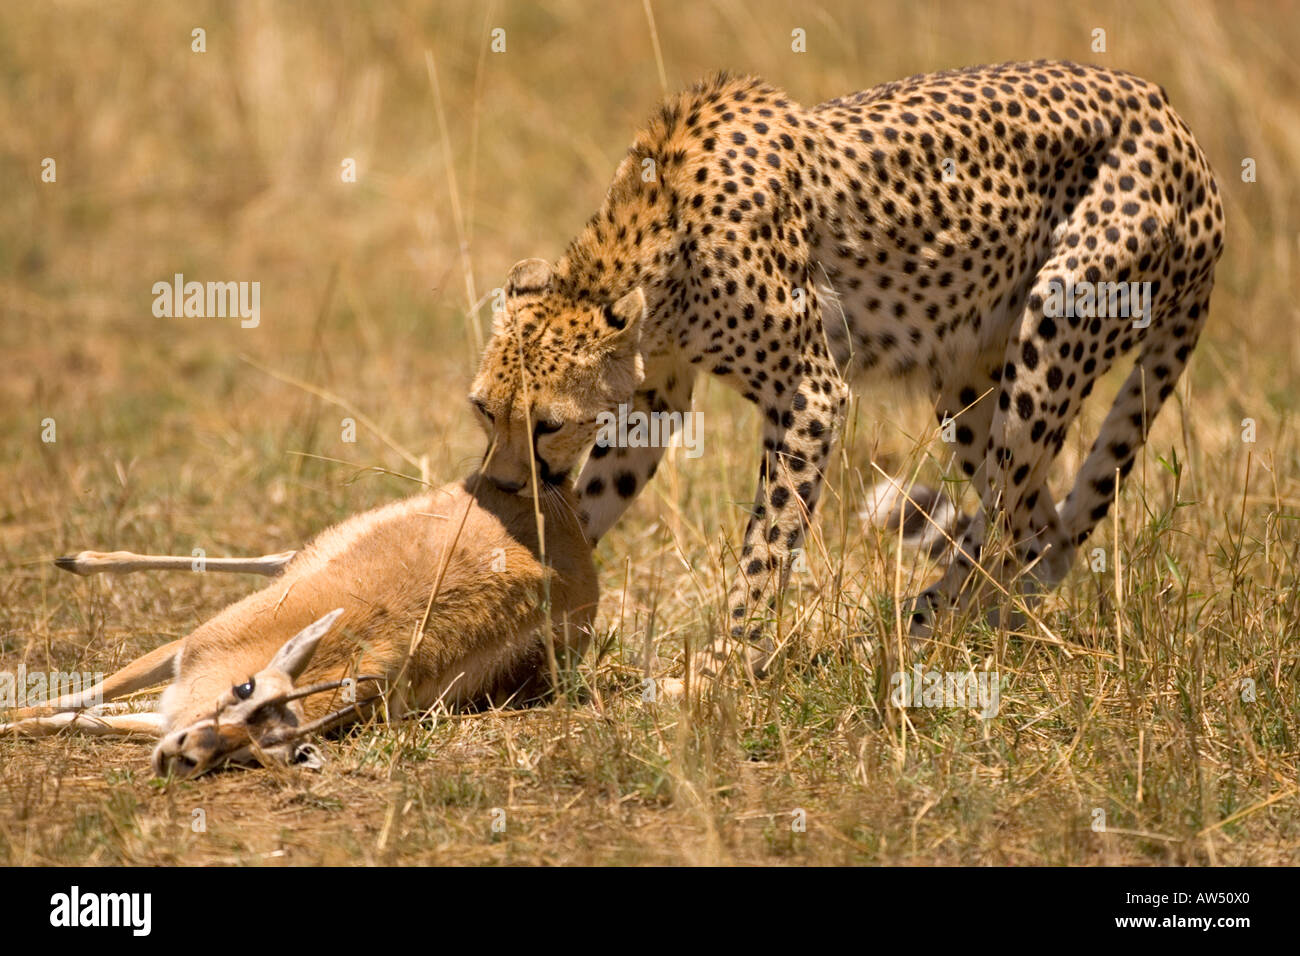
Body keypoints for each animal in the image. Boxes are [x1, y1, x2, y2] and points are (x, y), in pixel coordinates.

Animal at [0, 476, 598, 778]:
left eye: (262, 752)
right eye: (244, 690)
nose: (190, 753)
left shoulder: (170, 710)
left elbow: (86, 718)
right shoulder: (183, 648)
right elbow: (81, 697)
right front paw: (13, 714)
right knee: (277, 557)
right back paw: (76, 560)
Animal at [468, 59, 1225, 677]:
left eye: (548, 423)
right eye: (483, 410)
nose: (500, 484)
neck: (653, 231)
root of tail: (1179, 125)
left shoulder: (810, 392)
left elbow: (770, 542)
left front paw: (723, 665)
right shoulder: (658, 394)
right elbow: (596, 495)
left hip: (1058, 318)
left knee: (1013, 525)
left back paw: (909, 633)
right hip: (966, 378)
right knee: (1037, 527)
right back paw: (983, 629)